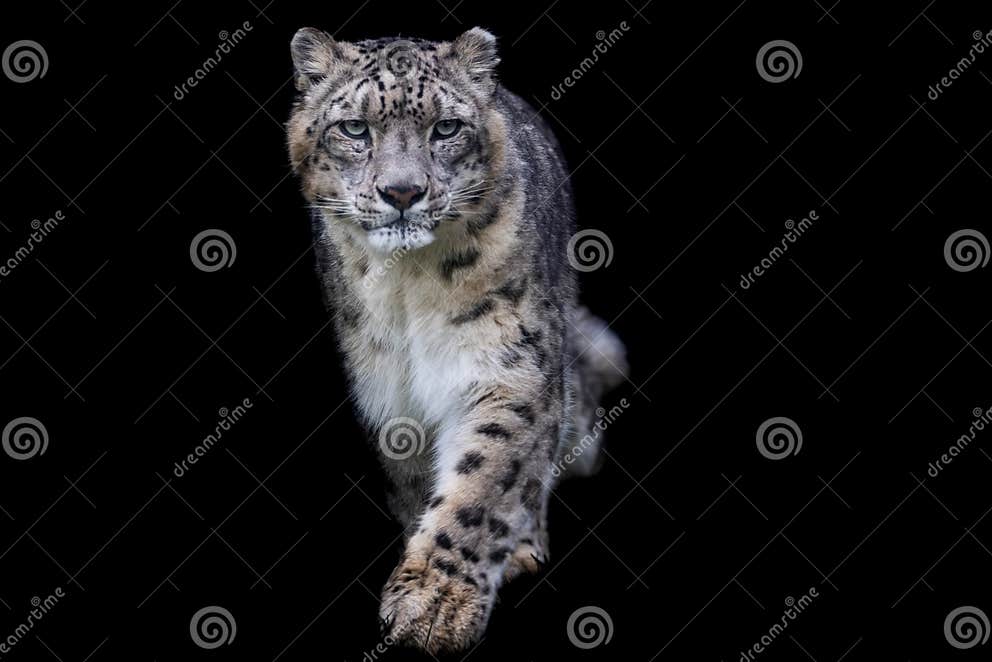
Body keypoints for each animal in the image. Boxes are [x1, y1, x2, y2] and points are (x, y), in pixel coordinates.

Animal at [286, 26, 628, 654]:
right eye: (354, 128)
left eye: (445, 128)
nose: (402, 191)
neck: (407, 284)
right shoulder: (388, 391)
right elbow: (418, 482)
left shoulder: (508, 368)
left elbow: (483, 482)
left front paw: (434, 606)